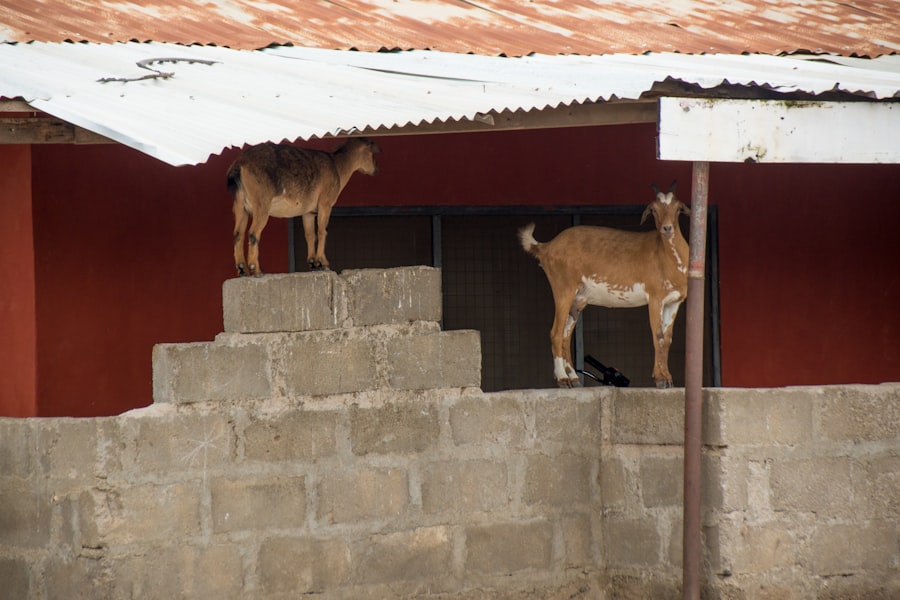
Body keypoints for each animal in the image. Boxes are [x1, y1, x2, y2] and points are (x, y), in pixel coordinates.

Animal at [226, 138, 381, 276]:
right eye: (371, 153)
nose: (376, 170)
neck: (338, 167)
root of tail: (240, 164)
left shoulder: (309, 212)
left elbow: (310, 234)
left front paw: (313, 264)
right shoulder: (325, 203)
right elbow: (322, 231)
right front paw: (323, 263)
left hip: (240, 205)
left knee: (238, 233)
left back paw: (243, 270)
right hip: (261, 203)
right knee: (253, 233)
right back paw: (257, 270)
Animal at [519, 181, 691, 388]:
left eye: (678, 208)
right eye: (654, 209)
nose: (667, 228)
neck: (666, 257)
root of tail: (546, 247)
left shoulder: (674, 301)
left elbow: (668, 338)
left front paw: (668, 378)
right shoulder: (655, 297)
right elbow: (658, 336)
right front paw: (659, 379)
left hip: (578, 299)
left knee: (566, 335)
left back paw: (574, 379)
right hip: (563, 288)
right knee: (556, 333)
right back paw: (562, 379)